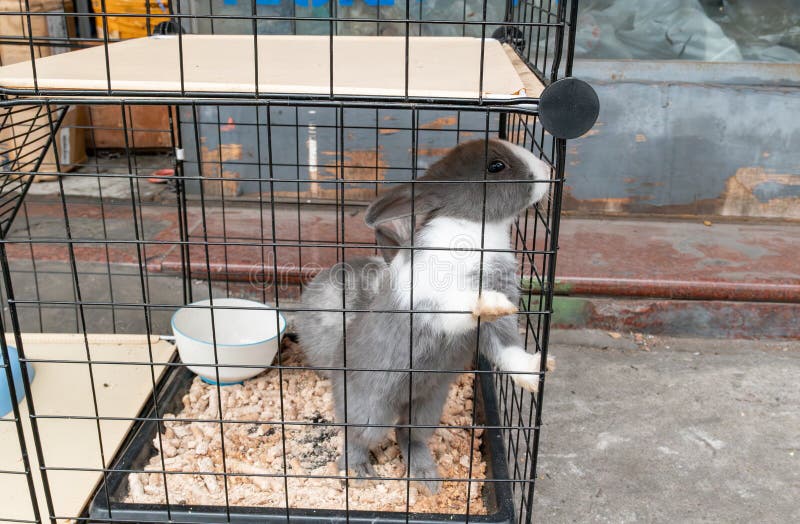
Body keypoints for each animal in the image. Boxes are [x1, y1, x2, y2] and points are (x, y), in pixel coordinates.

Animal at [296, 138, 554, 495]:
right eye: (496, 166)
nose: (549, 170)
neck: (476, 229)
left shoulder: (491, 332)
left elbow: (509, 351)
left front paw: (535, 373)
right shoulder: (432, 300)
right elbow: (460, 302)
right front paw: (493, 302)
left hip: (427, 404)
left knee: (408, 434)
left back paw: (426, 478)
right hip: (372, 411)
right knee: (355, 435)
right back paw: (359, 473)